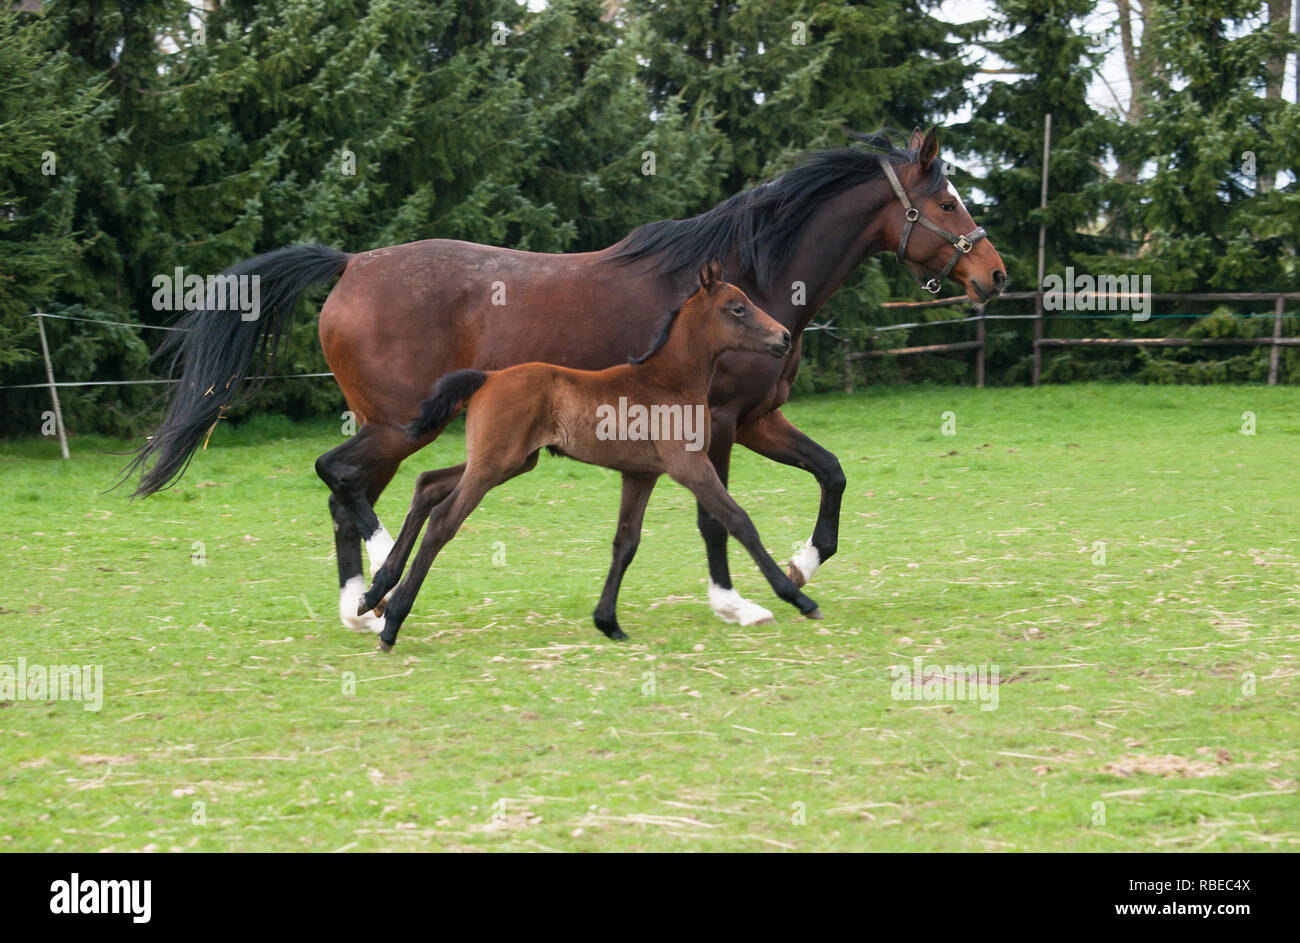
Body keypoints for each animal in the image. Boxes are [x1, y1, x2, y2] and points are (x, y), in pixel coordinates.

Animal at [359, 260, 816, 651]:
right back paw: (393, 620)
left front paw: (607, 622)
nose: (783, 337)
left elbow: (625, 542)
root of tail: (487, 377)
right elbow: (739, 520)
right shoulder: (689, 465)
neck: (668, 382)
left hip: (509, 461)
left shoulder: (640, 474)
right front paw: (796, 597)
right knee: (443, 520)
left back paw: (374, 592)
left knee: (428, 484)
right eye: (738, 308)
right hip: (493, 465)